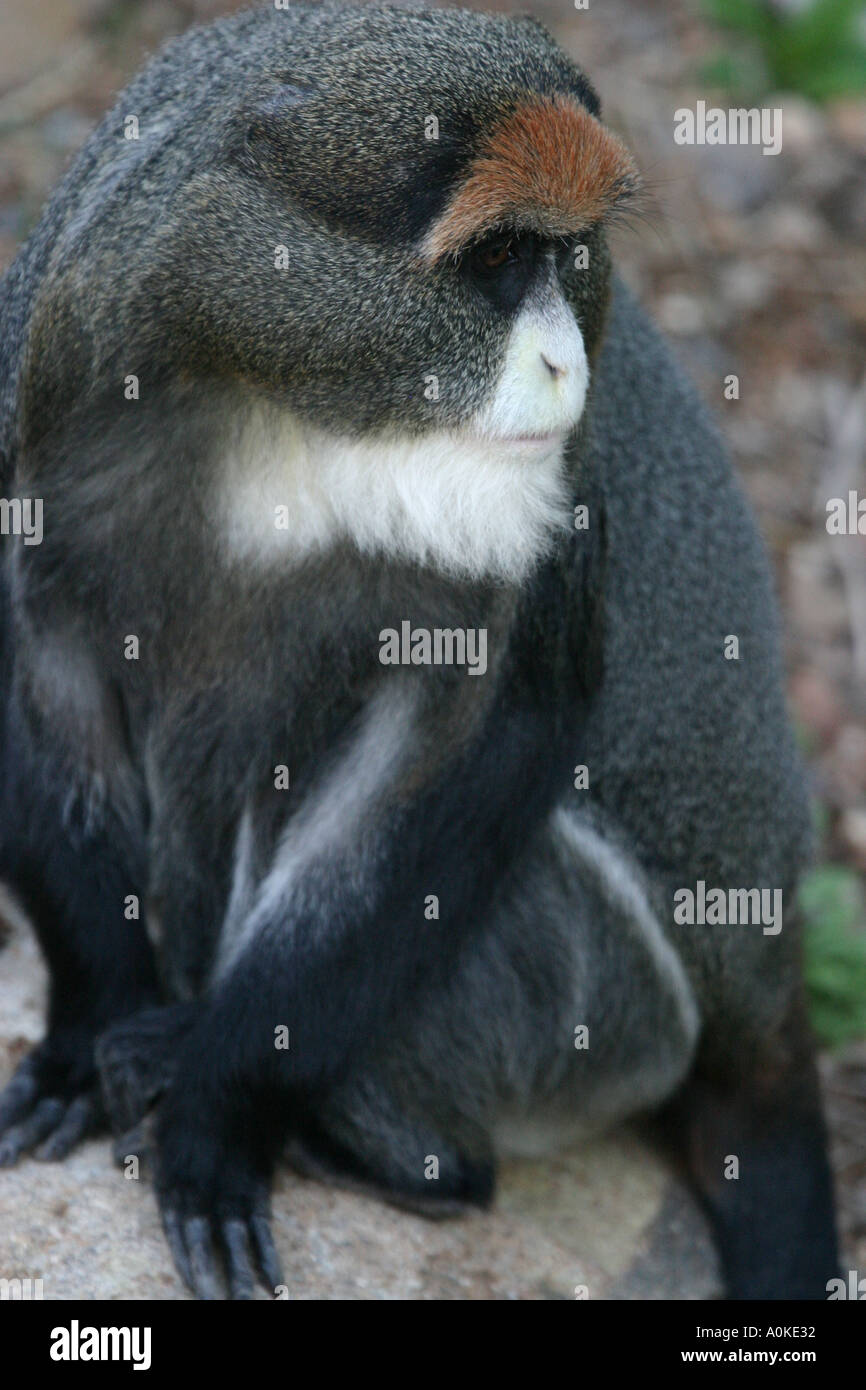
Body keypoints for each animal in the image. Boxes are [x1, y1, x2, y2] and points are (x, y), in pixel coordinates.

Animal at [0, 2, 838, 1300]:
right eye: (496, 259)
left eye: (569, 255)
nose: (563, 363)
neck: (286, 404)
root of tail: (767, 985)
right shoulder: (56, 365)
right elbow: (41, 658)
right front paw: (84, 1035)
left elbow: (458, 754)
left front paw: (215, 1113)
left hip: (614, 1017)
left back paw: (377, 1144)